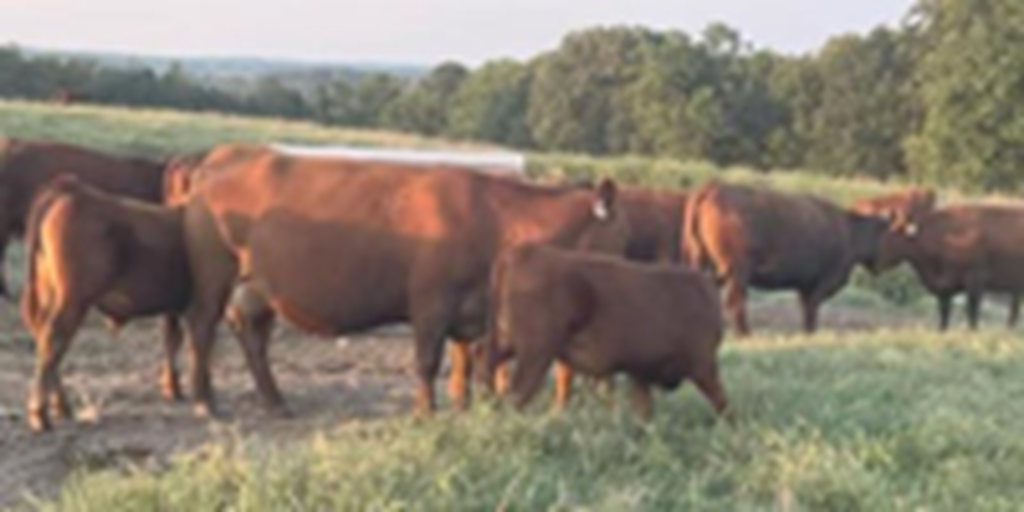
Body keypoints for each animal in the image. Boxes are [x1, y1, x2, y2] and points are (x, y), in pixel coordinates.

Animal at [19, 175, 191, 432]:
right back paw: (40, 413)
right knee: (53, 340)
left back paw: (61, 406)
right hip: (72, 300)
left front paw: (172, 386)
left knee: (45, 339)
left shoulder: (174, 306)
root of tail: (69, 190)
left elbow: (172, 339)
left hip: (50, 294)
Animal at [177, 144, 631, 419]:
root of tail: (229, 153)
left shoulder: (474, 311)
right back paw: (204, 401)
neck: (497, 222)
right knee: (201, 330)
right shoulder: (430, 303)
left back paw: (275, 402)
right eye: (620, 236)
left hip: (259, 288)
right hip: (214, 274)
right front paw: (426, 414)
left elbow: (469, 362)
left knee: (253, 339)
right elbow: (427, 361)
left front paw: (465, 409)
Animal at [479, 244, 728, 419]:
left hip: (505, 344)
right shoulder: (703, 364)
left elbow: (644, 412)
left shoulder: (639, 372)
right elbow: (723, 404)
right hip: (535, 355)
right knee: (516, 395)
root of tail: (515, 255)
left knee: (485, 371)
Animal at [683, 182, 888, 336]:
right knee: (735, 301)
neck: (848, 230)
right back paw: (745, 335)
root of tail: (713, 189)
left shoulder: (805, 285)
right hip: (737, 272)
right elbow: (811, 307)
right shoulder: (823, 281)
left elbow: (806, 309)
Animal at [873, 204, 1024, 330]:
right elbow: (944, 313)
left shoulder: (975, 282)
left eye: (894, 236)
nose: (875, 263)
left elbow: (972, 311)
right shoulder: (945, 289)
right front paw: (942, 330)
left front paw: (972, 331)